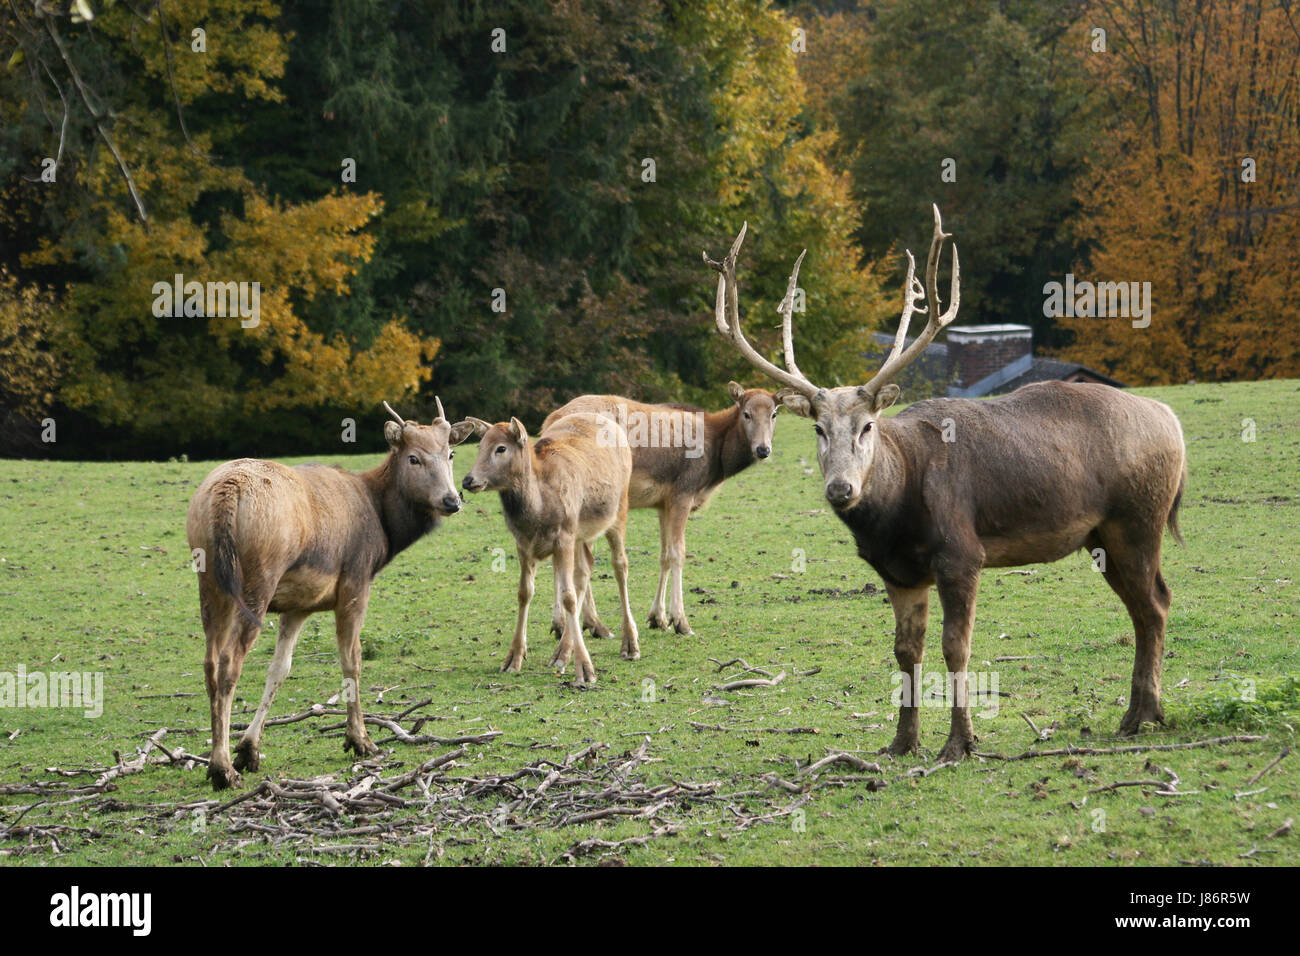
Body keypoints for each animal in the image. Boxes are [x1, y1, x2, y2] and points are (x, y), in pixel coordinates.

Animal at [187, 400, 475, 790]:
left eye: (450, 453)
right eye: (414, 458)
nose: (451, 500)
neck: (385, 529)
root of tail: (226, 494)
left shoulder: (298, 606)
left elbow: (280, 669)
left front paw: (250, 749)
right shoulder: (356, 581)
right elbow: (352, 659)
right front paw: (360, 740)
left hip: (209, 579)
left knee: (210, 661)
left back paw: (219, 761)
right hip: (259, 579)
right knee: (231, 661)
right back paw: (222, 768)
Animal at [459, 410, 638, 685]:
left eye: (501, 448)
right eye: (479, 446)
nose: (468, 480)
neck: (537, 512)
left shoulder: (563, 536)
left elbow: (568, 597)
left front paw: (585, 669)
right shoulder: (523, 543)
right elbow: (524, 592)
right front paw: (513, 658)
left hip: (619, 510)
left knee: (620, 565)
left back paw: (629, 644)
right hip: (580, 531)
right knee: (585, 569)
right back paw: (562, 653)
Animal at [541, 384, 780, 637]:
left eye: (774, 413)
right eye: (746, 413)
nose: (763, 449)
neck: (715, 462)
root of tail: (549, 421)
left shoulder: (663, 504)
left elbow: (664, 555)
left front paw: (658, 618)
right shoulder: (683, 492)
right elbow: (678, 553)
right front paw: (681, 621)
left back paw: (563, 624)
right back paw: (592, 623)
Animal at [703, 206, 1187, 763]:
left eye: (867, 426)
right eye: (818, 429)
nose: (841, 489)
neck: (896, 515)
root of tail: (1173, 421)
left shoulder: (962, 553)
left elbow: (956, 647)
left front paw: (960, 743)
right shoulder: (899, 573)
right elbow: (904, 651)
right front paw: (902, 742)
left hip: (1138, 519)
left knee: (1156, 603)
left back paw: (1144, 715)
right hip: (1102, 536)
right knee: (1147, 606)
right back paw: (1138, 714)